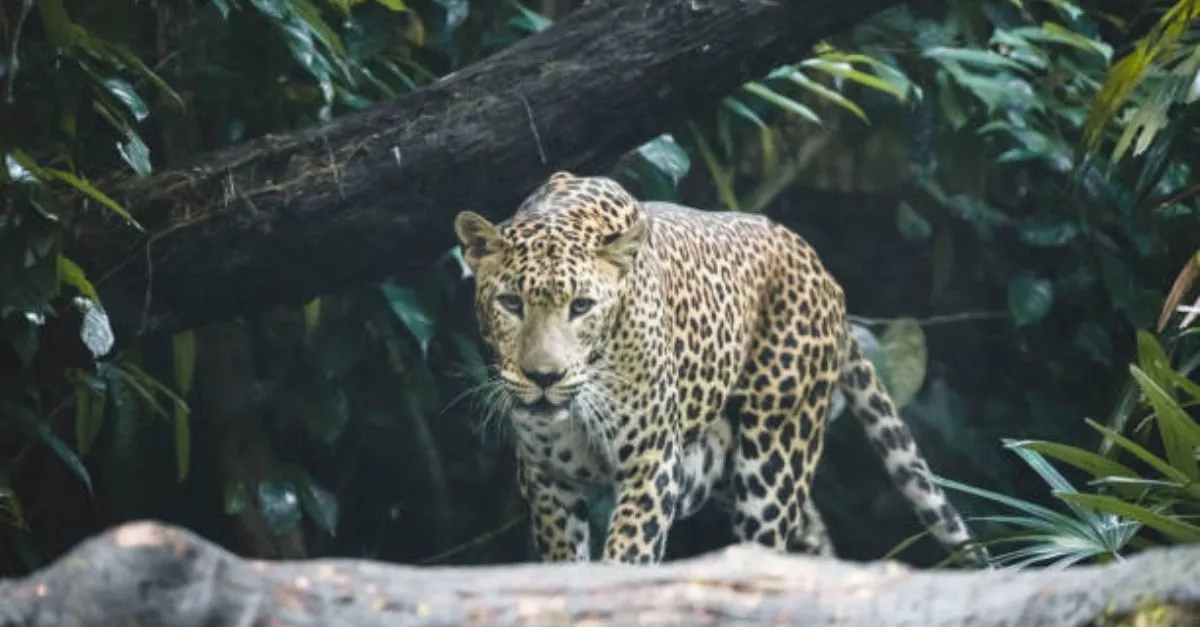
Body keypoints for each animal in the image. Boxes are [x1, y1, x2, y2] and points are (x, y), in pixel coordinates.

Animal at [453, 171, 988, 566]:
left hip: (773, 461)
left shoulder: (651, 463)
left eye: (581, 306)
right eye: (510, 303)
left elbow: (628, 556)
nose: (544, 377)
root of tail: (820, 268)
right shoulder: (546, 478)